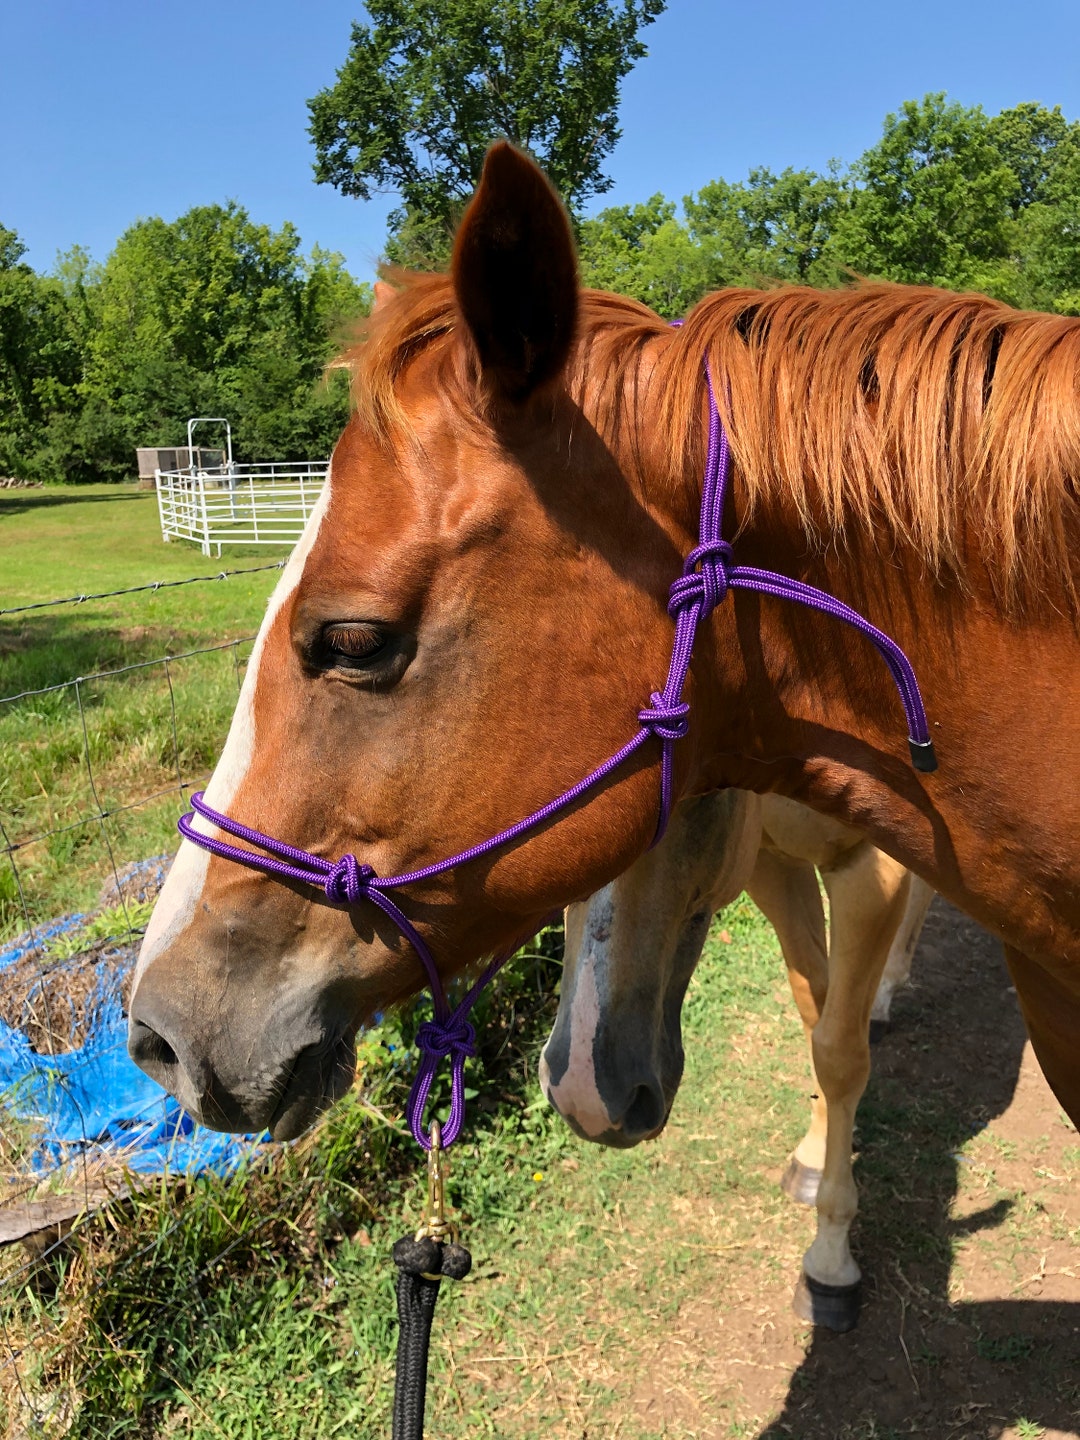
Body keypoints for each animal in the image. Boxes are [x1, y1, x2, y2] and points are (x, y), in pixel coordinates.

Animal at [541, 788, 934, 1329]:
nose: (587, 1093)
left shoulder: (868, 866)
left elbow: (838, 1054)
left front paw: (830, 1260)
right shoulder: (769, 861)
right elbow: (815, 1007)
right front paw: (816, 1154)